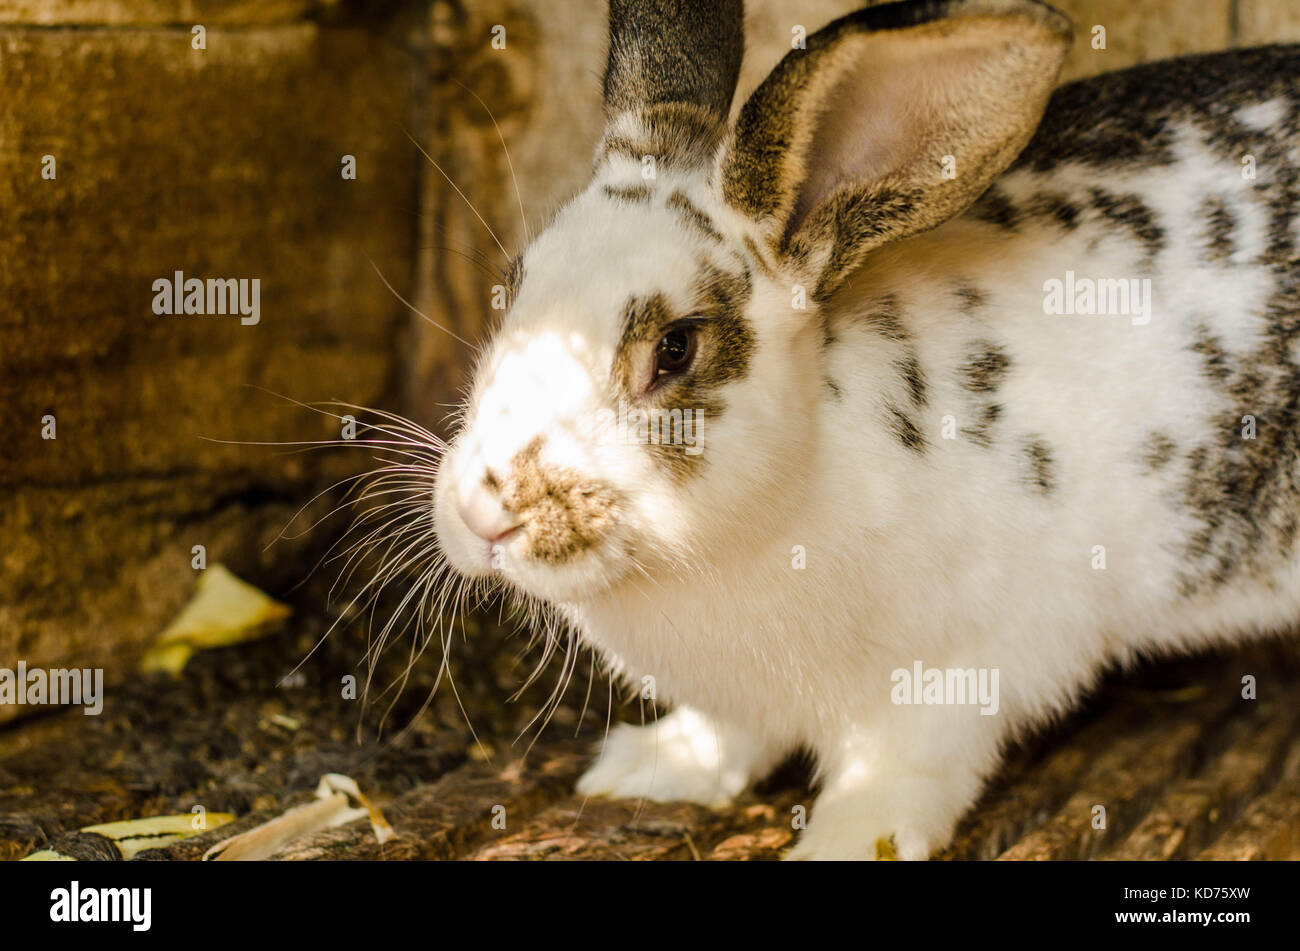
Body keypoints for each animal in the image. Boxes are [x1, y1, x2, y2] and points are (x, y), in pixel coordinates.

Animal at [430, 0, 1300, 859]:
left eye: (675, 348)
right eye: (513, 285)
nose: (481, 512)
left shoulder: (965, 673)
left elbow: (900, 776)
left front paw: (841, 843)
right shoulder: (743, 702)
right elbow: (727, 736)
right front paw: (648, 767)